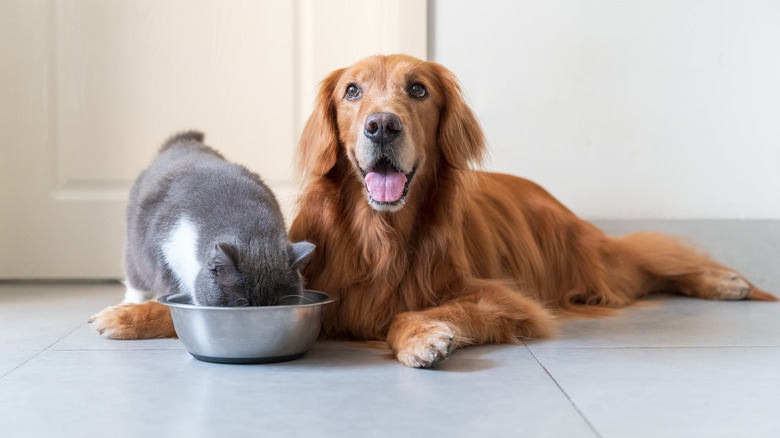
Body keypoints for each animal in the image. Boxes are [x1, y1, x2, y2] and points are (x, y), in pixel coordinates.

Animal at [119, 132, 314, 306]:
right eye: (243, 306)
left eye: (276, 305)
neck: (250, 227)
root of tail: (179, 143)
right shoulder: (167, 254)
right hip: (134, 250)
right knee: (135, 278)